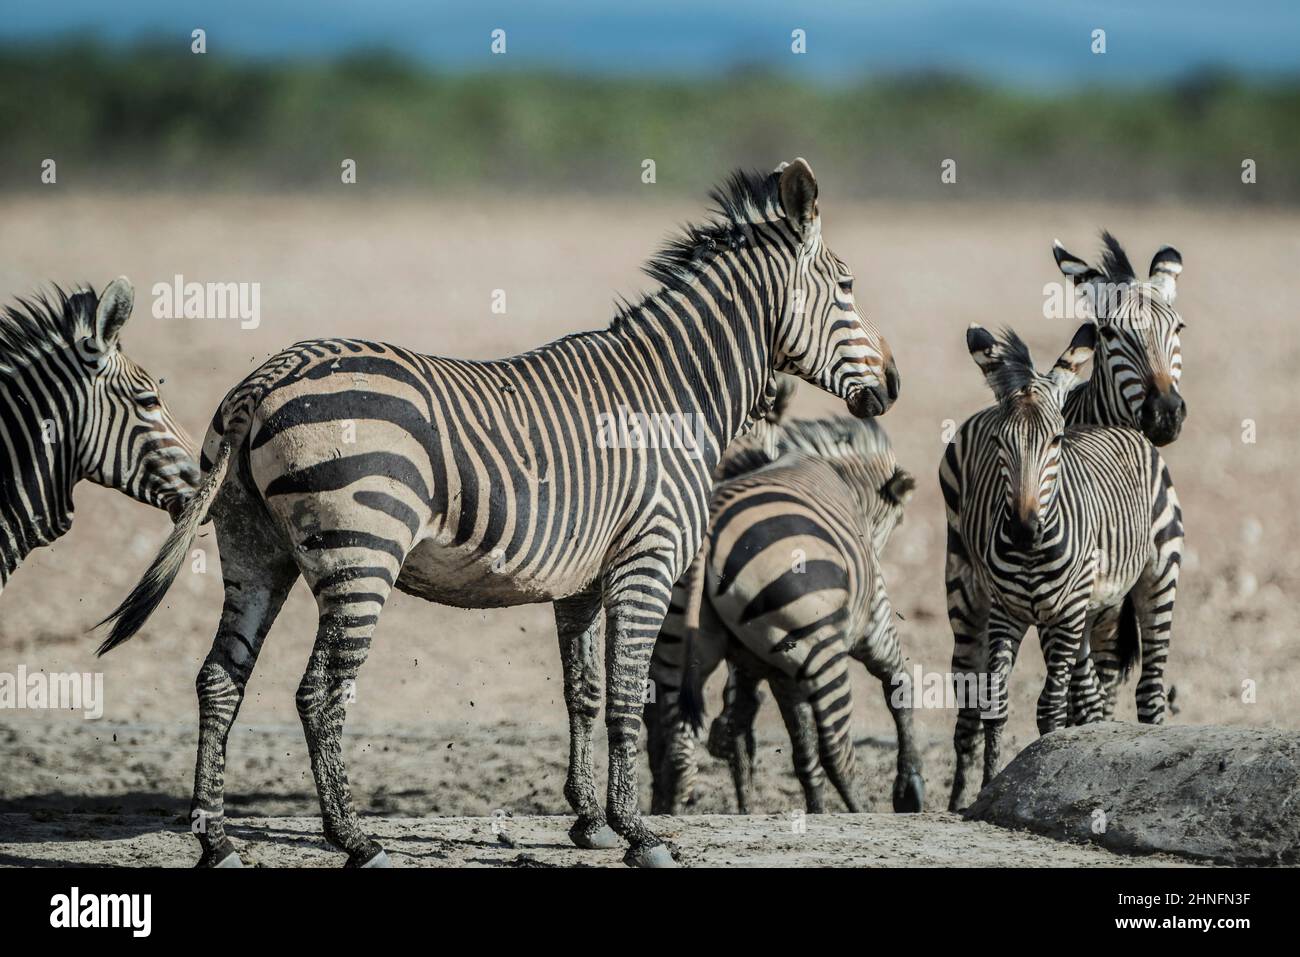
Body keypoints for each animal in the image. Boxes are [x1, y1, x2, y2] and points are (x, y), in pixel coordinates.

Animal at [646, 415, 923, 815]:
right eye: (897, 521)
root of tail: (708, 531)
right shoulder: (876, 623)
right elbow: (899, 685)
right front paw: (909, 787)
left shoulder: (782, 671)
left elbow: (802, 750)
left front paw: (816, 809)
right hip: (823, 649)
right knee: (838, 751)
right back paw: (859, 812)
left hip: (675, 643)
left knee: (680, 751)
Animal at [942, 233, 1188, 808]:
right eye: (1112, 334)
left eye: (1178, 329)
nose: (1165, 413)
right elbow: (1043, 700)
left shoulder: (1090, 605)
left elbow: (1085, 698)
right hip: (964, 588)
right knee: (969, 700)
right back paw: (951, 795)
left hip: (1143, 584)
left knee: (1138, 689)